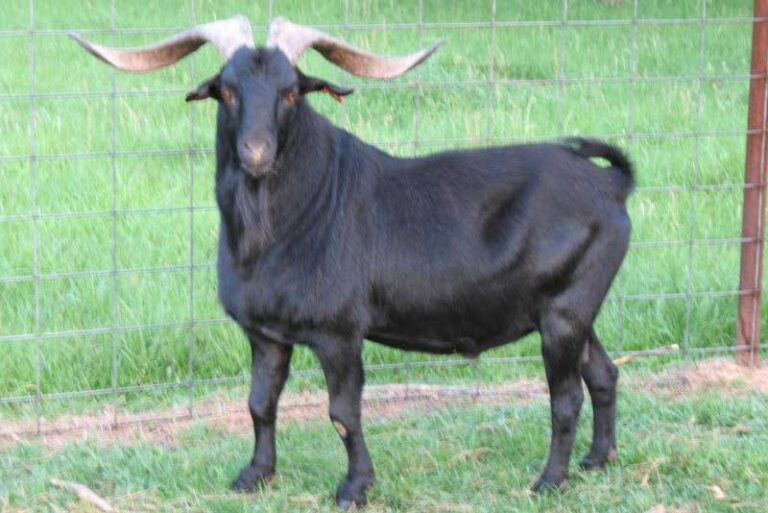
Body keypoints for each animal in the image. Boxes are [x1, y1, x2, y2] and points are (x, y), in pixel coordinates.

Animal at [72, 15, 633, 508]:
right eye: (227, 90)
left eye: (291, 91)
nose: (256, 152)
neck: (292, 220)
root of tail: (612, 185)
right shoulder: (266, 334)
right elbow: (259, 404)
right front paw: (255, 476)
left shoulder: (338, 334)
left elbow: (343, 413)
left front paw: (354, 487)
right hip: (574, 312)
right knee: (603, 373)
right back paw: (597, 460)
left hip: (564, 312)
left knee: (566, 397)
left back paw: (550, 481)